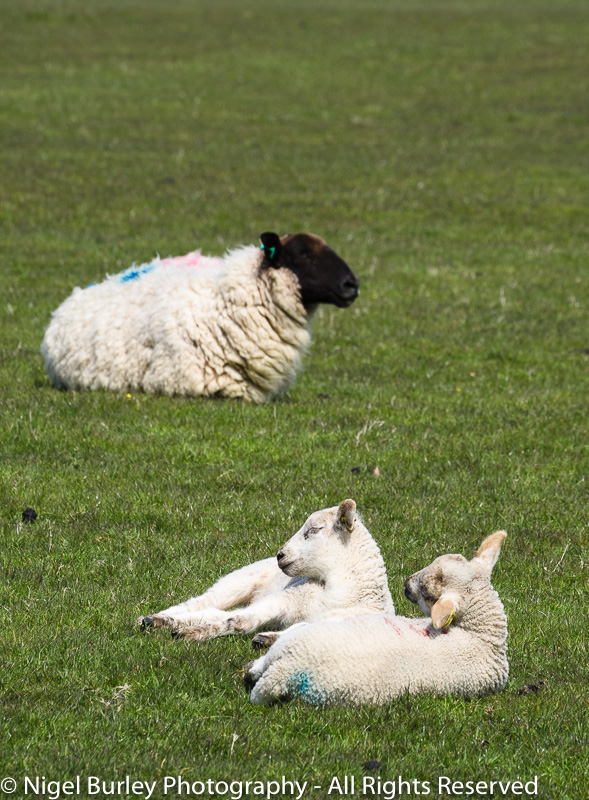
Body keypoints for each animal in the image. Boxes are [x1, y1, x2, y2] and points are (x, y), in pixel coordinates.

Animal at [136, 499, 395, 645]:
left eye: (313, 530)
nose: (280, 555)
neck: (335, 592)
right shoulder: (284, 599)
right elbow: (240, 621)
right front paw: (194, 633)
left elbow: (299, 630)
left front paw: (267, 639)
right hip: (238, 581)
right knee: (204, 603)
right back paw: (154, 619)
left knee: (213, 611)